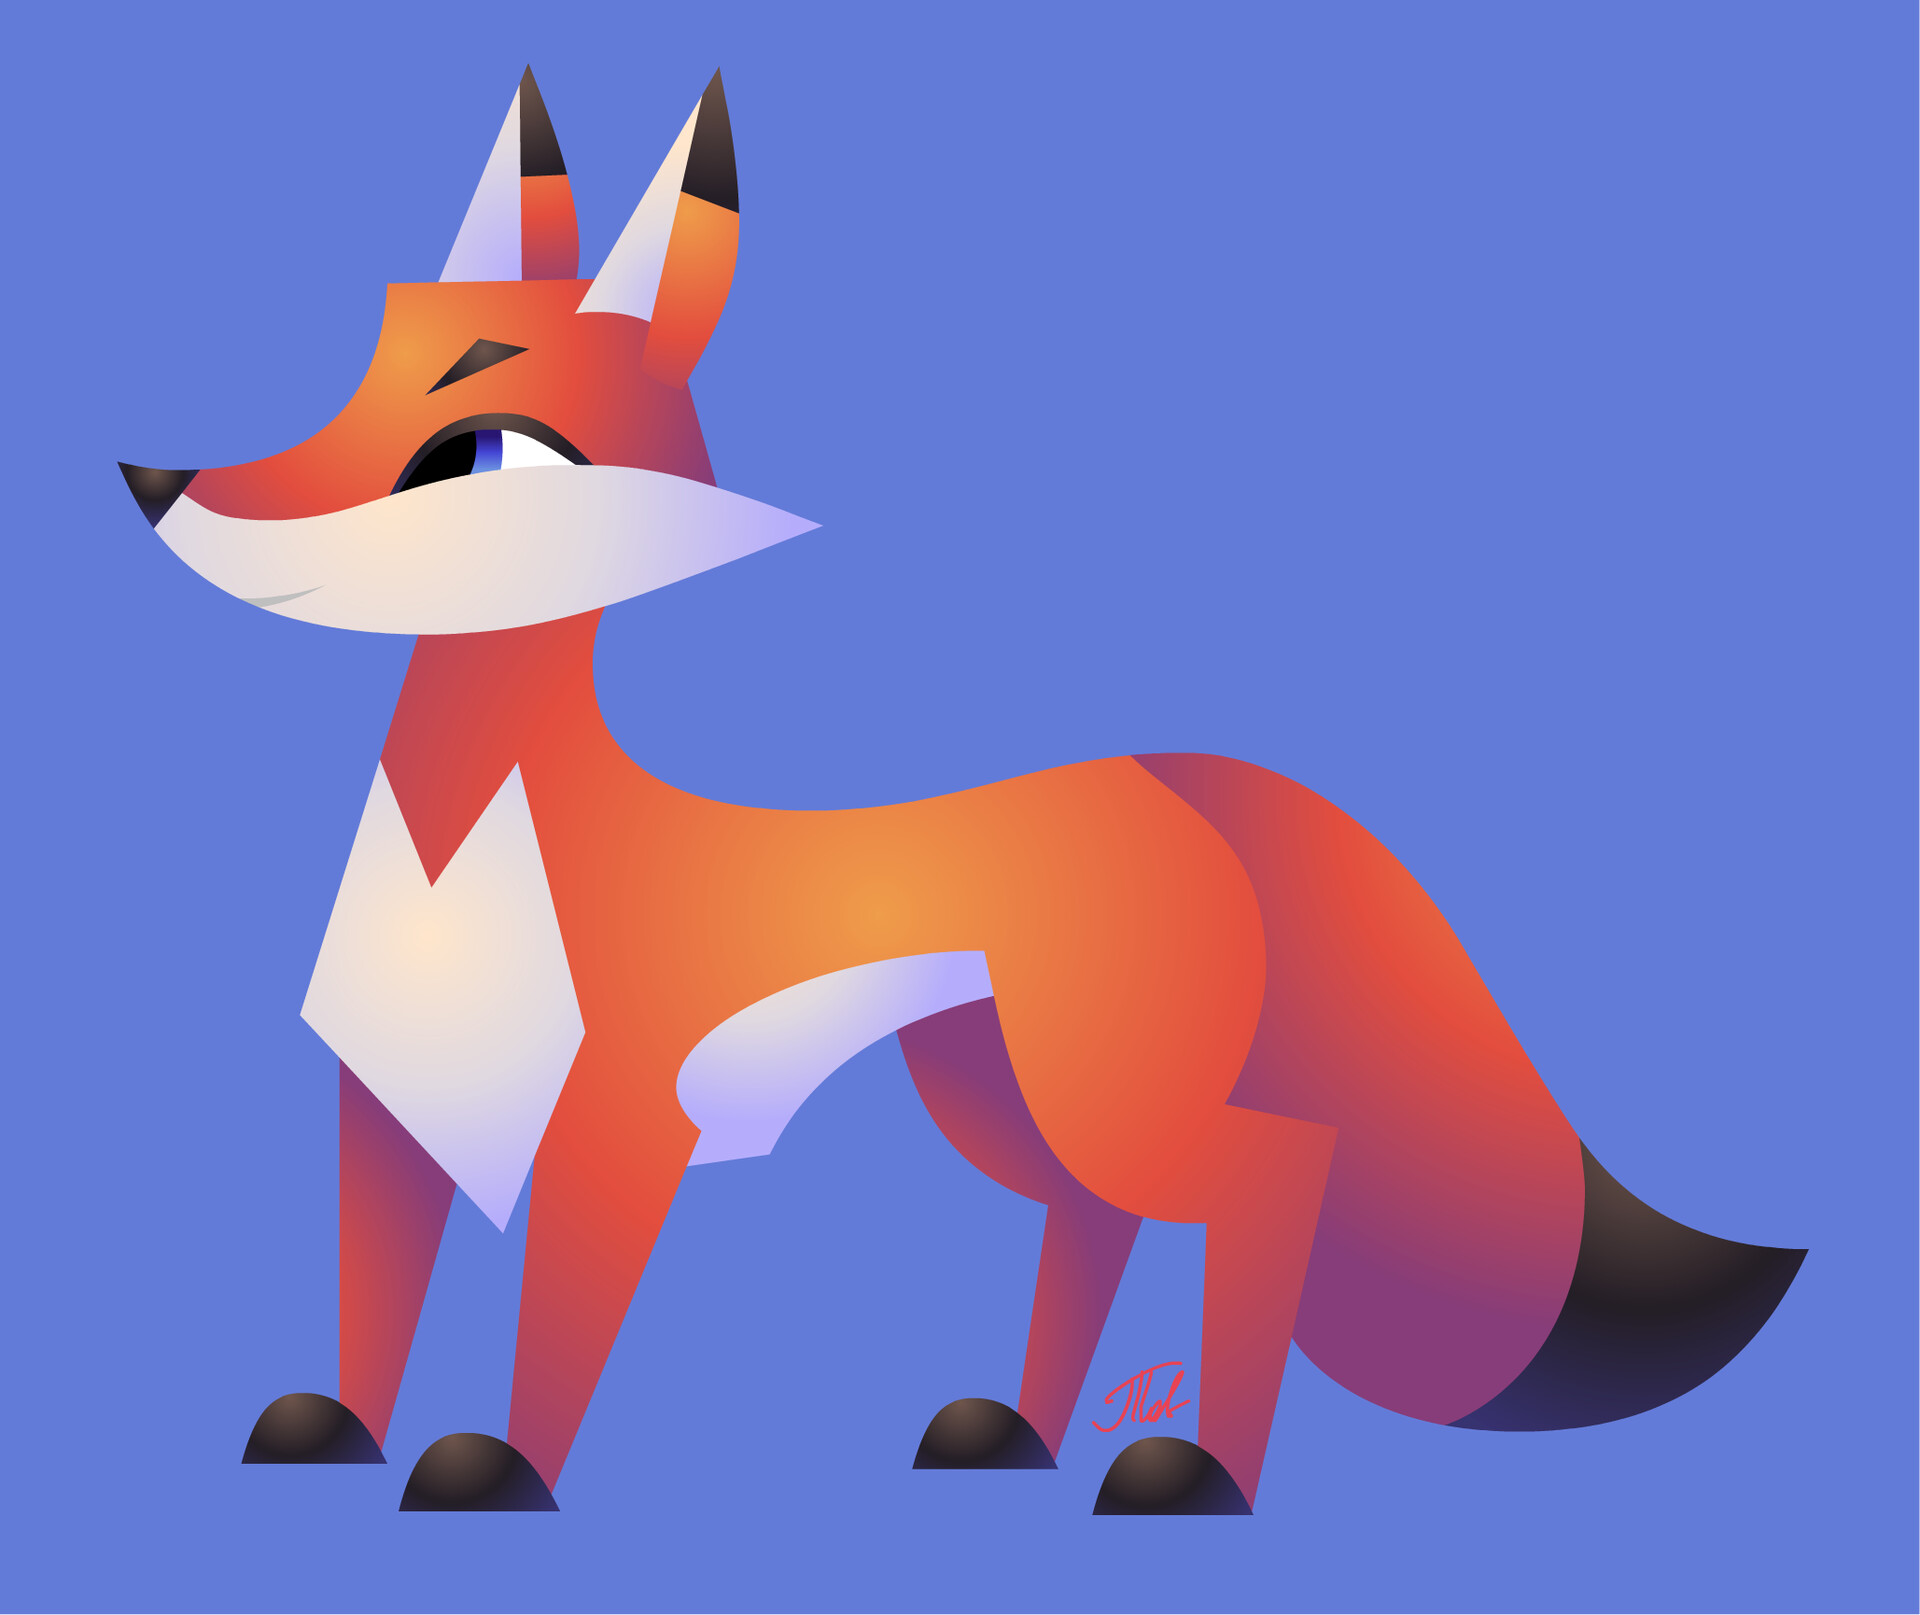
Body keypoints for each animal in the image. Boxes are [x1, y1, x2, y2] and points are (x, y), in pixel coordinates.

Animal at [121, 67, 1804, 1514]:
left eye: (474, 450)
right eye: (346, 377)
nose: (157, 481)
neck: (458, 847)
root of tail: (1180, 778)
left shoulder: (621, 1124)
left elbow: (557, 1334)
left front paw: (503, 1466)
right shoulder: (380, 1109)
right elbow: (372, 1303)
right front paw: (339, 1427)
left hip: (1119, 1097)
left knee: (1276, 1170)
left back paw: (1200, 1470)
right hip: (1010, 1103)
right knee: (1092, 1223)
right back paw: (1021, 1433)